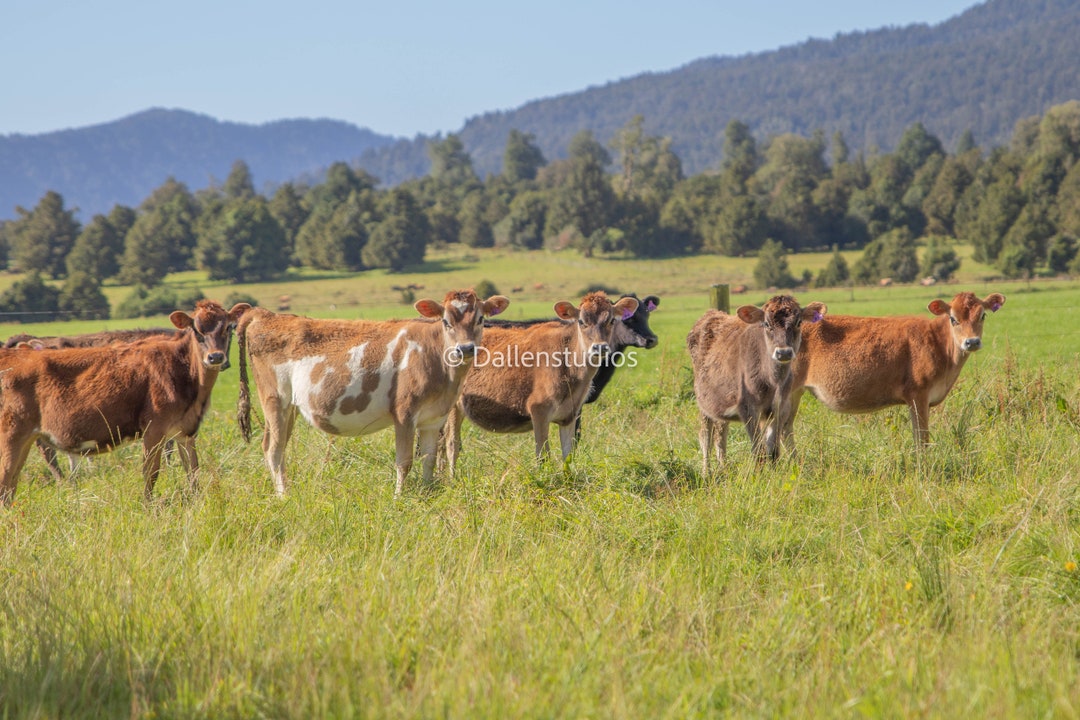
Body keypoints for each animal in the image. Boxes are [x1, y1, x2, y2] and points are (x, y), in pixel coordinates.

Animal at [0, 301, 250, 505]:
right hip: (12, 434)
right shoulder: (154, 429)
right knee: (7, 480)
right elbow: (151, 472)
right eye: (196, 330)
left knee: (12, 483)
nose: (215, 357)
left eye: (228, 327)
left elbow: (193, 472)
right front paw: (148, 508)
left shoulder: (186, 431)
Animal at [235, 290, 510, 497]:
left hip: (288, 407)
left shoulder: (433, 418)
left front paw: (427, 492)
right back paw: (284, 496)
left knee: (273, 445)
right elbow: (404, 461)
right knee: (274, 450)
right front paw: (399, 497)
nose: (465, 348)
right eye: (446, 321)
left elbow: (429, 459)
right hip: (275, 400)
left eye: (480, 320)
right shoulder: (404, 413)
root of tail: (265, 314)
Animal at [442, 292, 640, 474]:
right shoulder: (539, 410)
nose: (600, 347)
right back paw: (453, 479)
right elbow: (543, 456)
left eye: (612, 321)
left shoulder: (570, 415)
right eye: (582, 321)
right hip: (453, 407)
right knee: (452, 444)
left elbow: (568, 456)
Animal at [687, 295, 827, 474]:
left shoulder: (781, 408)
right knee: (705, 436)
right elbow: (759, 451)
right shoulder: (747, 408)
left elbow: (773, 450)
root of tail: (712, 314)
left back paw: (723, 468)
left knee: (720, 434)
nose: (783, 352)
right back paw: (707, 472)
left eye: (799, 322)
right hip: (704, 403)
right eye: (766, 324)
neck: (773, 382)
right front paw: (759, 476)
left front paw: (774, 475)